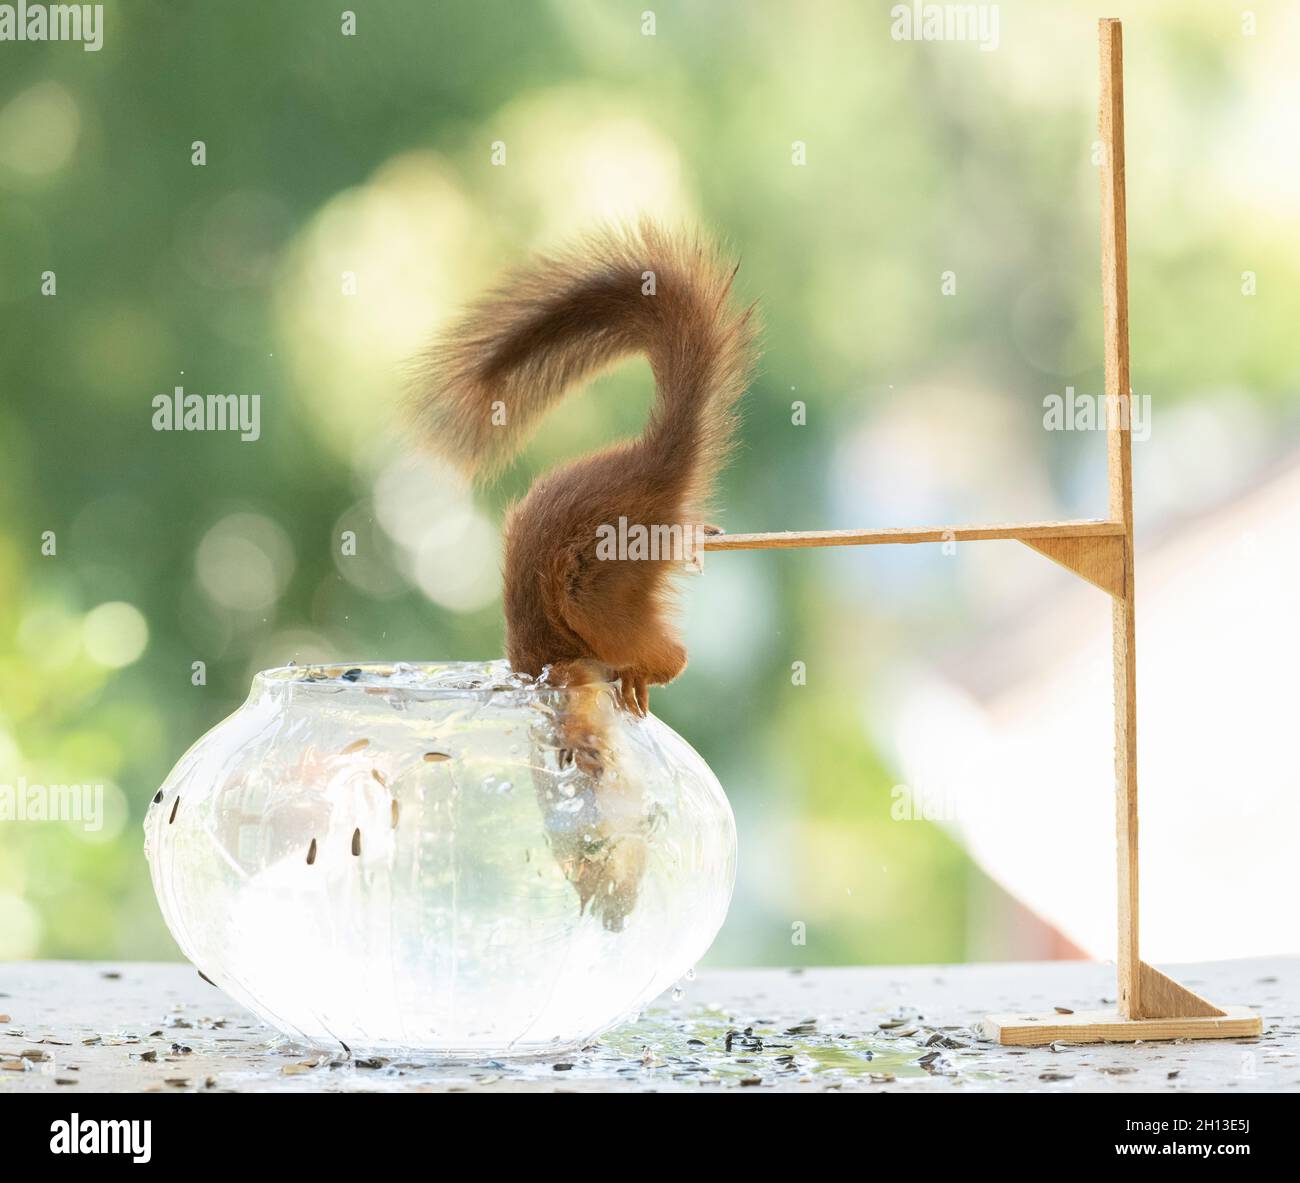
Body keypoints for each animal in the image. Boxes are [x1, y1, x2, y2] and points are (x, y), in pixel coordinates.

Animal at [409, 219, 757, 926]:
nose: (611, 916)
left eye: (593, 850)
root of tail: (650, 471)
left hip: (597, 587)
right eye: (572, 864)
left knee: (669, 653)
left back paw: (643, 676)